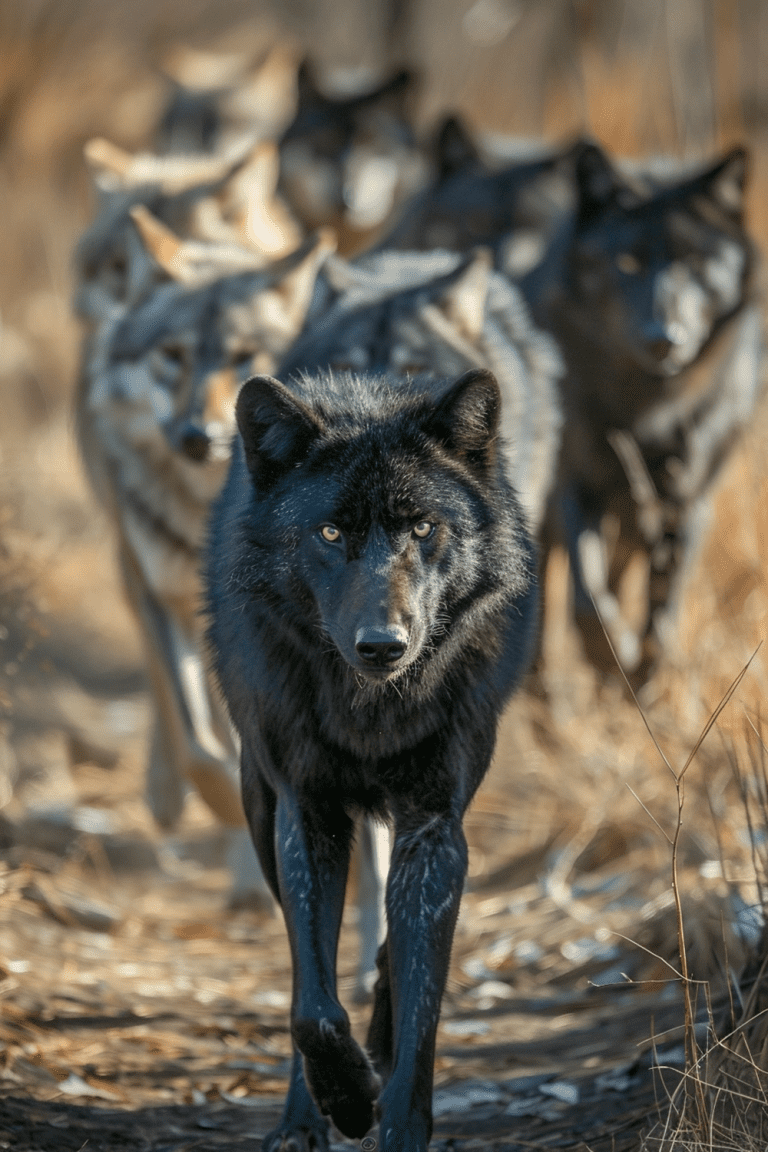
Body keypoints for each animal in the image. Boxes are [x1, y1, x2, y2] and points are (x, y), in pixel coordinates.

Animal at [205, 363, 539, 1152]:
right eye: (330, 532)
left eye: (422, 527)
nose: (383, 645)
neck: (370, 714)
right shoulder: (306, 815)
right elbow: (312, 1004)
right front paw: (349, 1099)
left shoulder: (434, 827)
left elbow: (423, 1005)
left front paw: (398, 1120)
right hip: (259, 808)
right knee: (309, 976)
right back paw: (306, 1117)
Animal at [522, 142, 762, 677]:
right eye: (628, 263)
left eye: (695, 262)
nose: (663, 339)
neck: (646, 411)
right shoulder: (577, 487)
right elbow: (588, 602)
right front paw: (613, 656)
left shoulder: (686, 502)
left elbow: (663, 611)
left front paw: (641, 672)